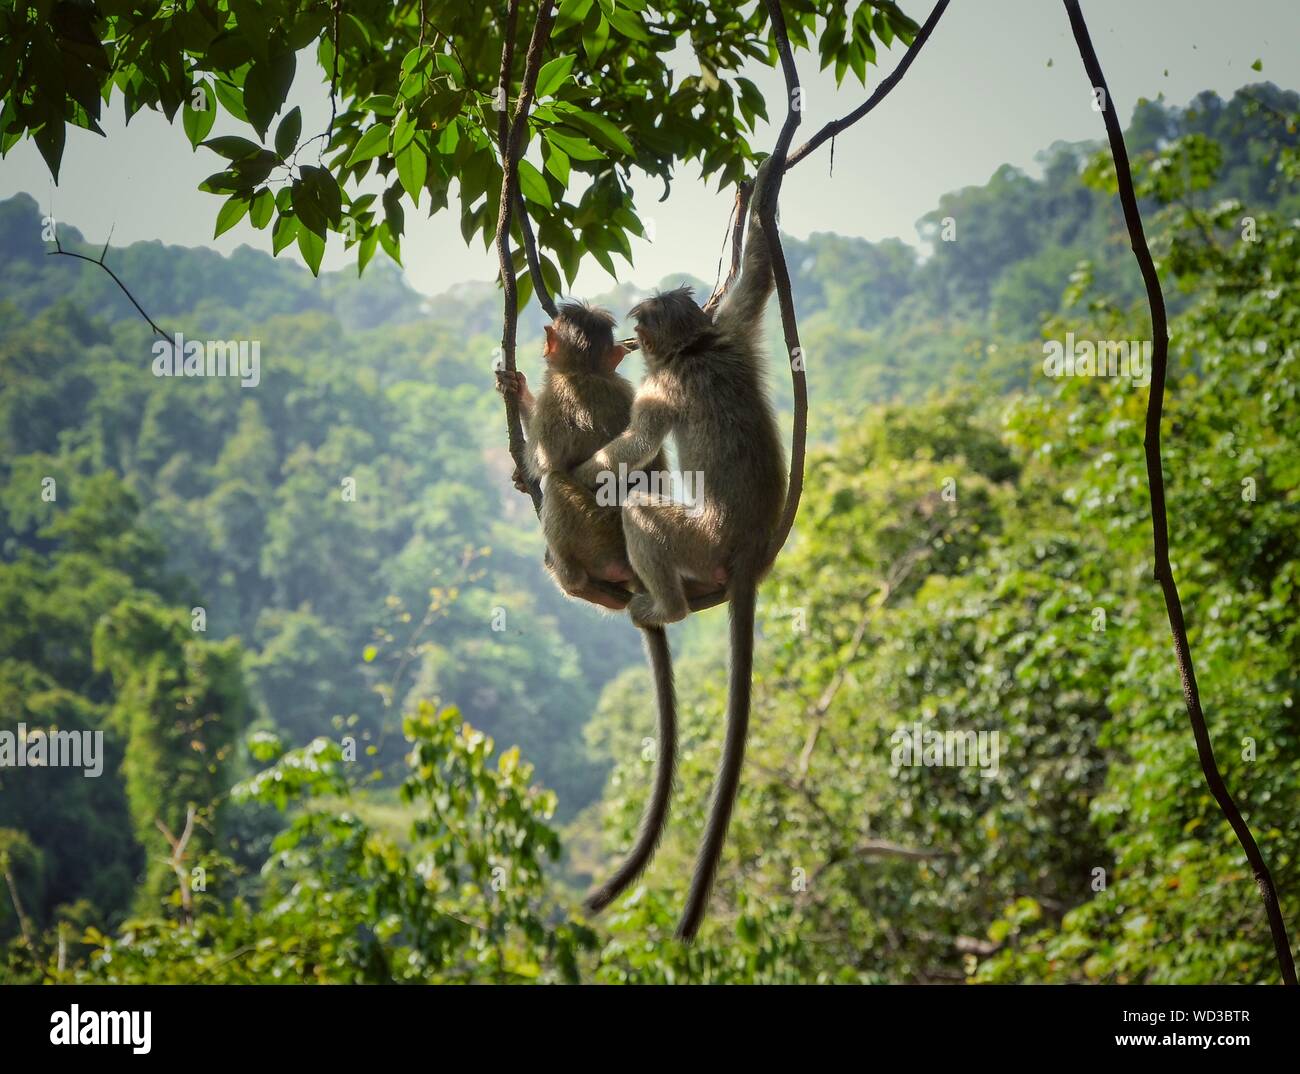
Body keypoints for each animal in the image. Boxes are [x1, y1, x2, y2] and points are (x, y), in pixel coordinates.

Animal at [496, 302, 681, 912]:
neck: (585, 376)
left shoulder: (565, 401)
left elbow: (549, 458)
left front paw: (525, 459)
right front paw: (518, 387)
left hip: (592, 534)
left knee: (558, 485)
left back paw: (576, 580)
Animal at [572, 157, 785, 941]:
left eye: (642, 327)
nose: (634, 341)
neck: (695, 351)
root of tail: (749, 550)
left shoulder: (661, 391)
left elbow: (625, 455)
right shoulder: (731, 330)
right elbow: (755, 281)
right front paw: (765, 185)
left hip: (699, 543)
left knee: (643, 512)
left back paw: (663, 607)